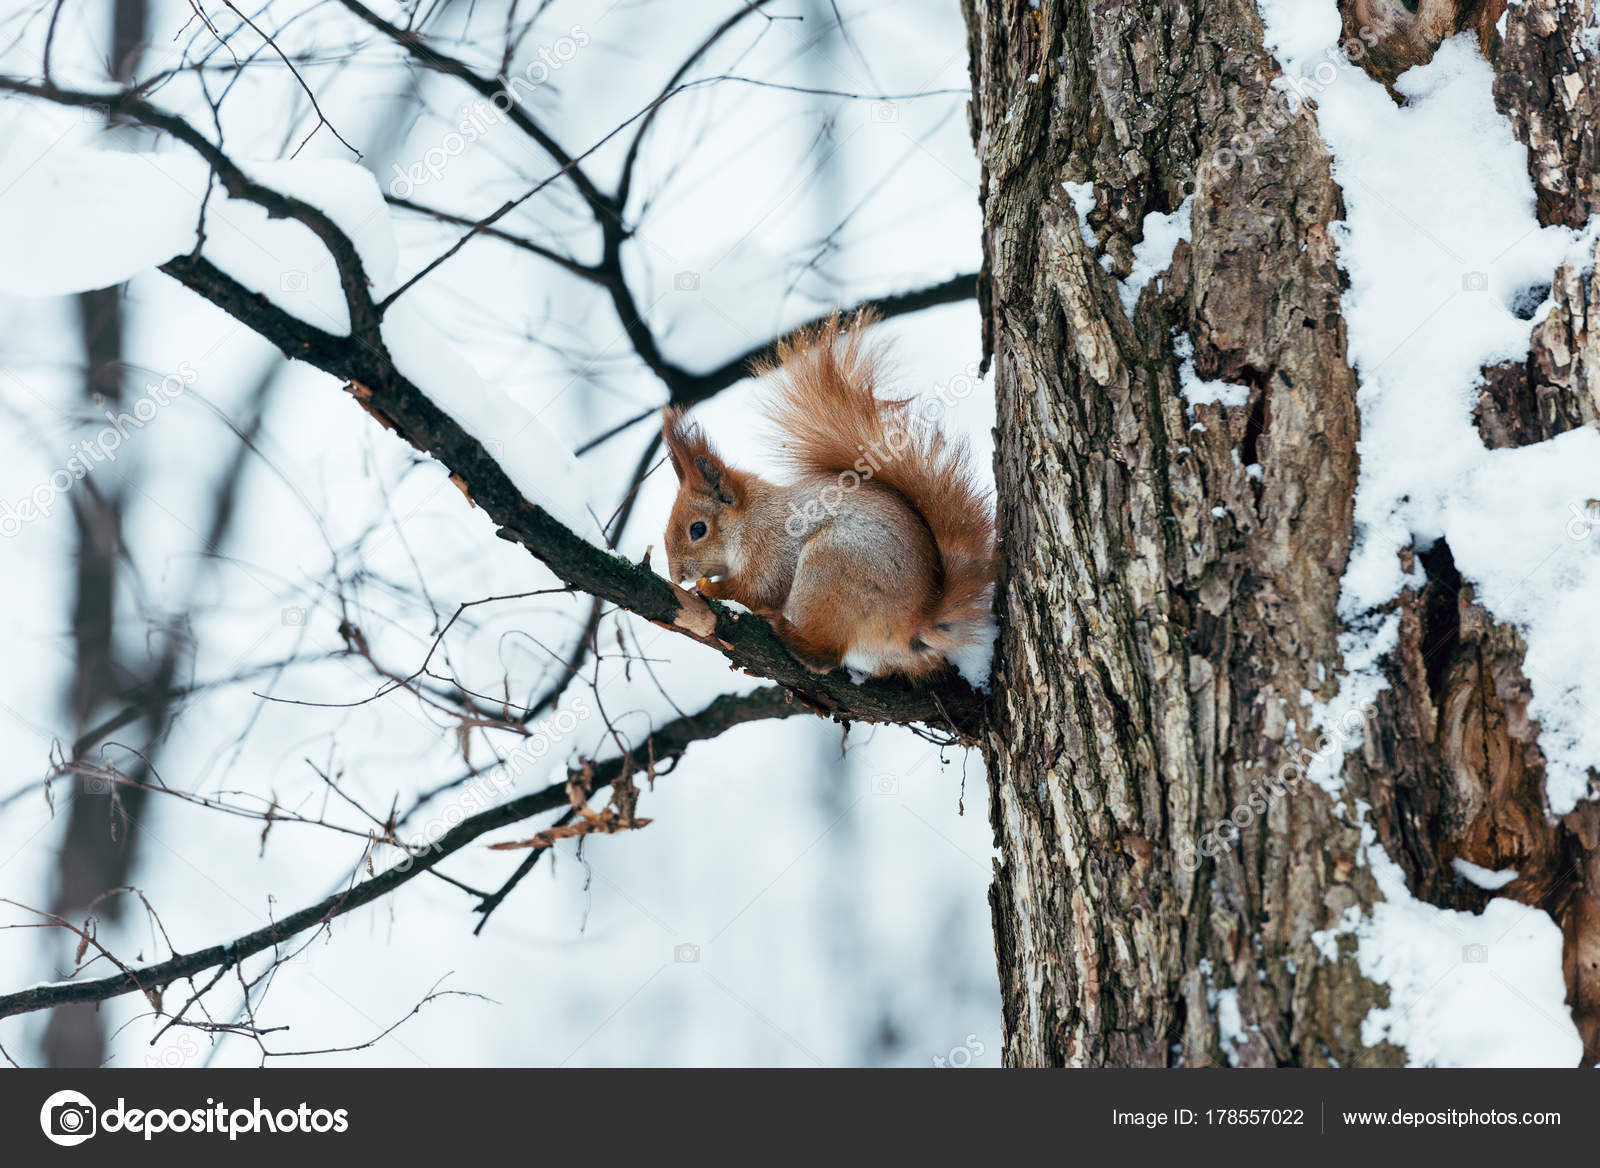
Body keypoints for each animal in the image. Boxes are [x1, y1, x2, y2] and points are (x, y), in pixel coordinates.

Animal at [660, 311, 996, 683]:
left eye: (698, 529)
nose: (676, 576)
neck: (749, 517)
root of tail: (914, 624)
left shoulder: (771, 547)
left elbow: (758, 590)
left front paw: (713, 589)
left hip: (831, 567)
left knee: (826, 655)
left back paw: (787, 632)